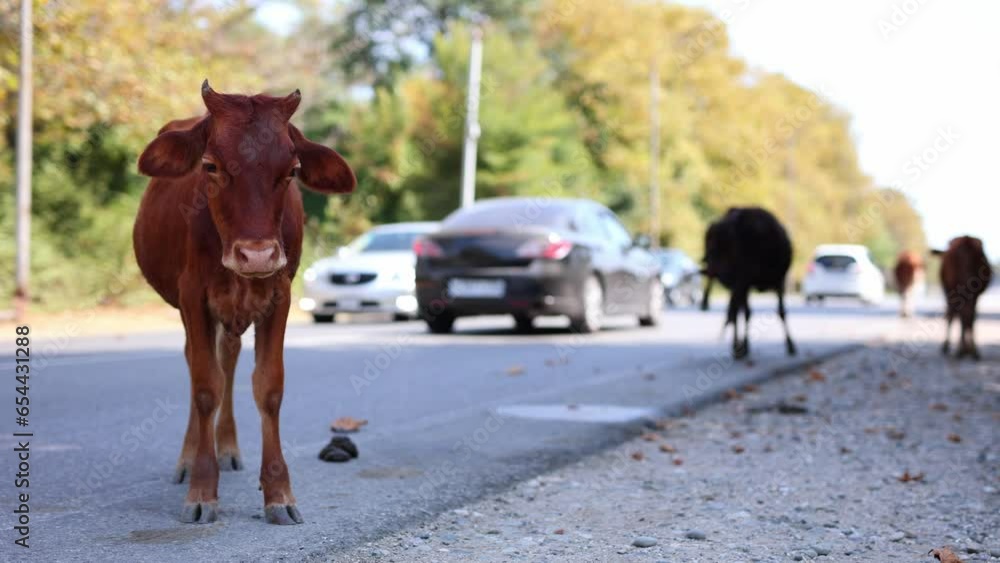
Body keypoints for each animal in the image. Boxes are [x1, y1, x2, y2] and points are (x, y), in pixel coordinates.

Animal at [133, 81, 355, 525]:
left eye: (291, 171)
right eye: (210, 166)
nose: (257, 255)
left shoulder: (280, 295)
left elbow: (268, 387)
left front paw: (278, 493)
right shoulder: (193, 297)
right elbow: (205, 387)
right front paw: (202, 489)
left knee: (230, 358)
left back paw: (229, 447)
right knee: (199, 365)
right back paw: (189, 458)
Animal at [700, 207, 796, 359]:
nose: (711, 269)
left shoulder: (747, 282)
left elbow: (775, 312)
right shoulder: (773, 280)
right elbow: (776, 312)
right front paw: (790, 345)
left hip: (741, 283)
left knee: (736, 311)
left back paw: (737, 347)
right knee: (738, 311)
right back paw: (738, 347)